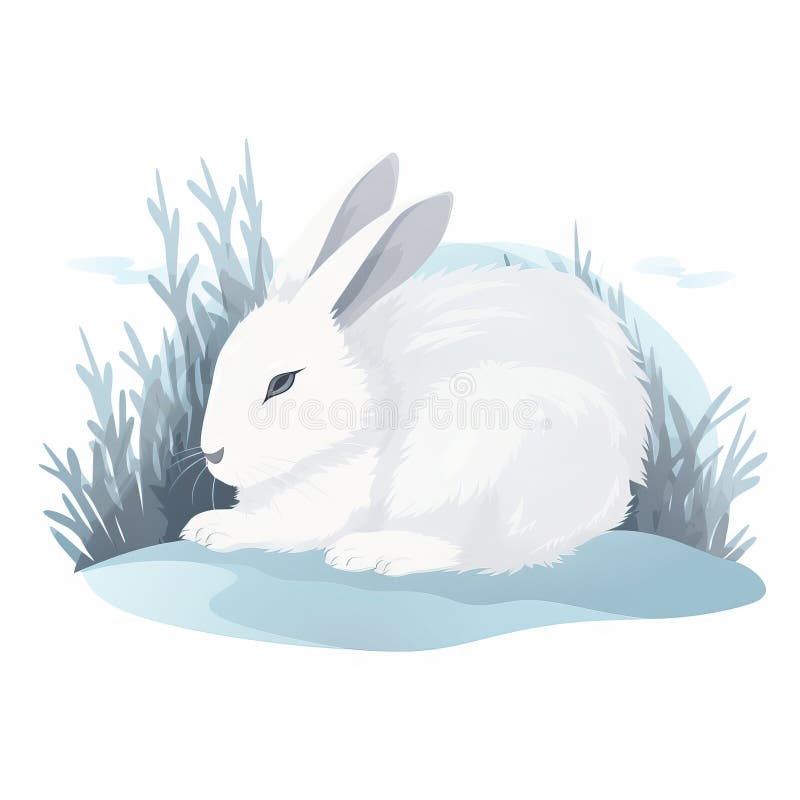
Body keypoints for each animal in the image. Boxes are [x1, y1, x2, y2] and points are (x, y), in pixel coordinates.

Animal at [181, 153, 649, 575]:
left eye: (281, 383)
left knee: (468, 548)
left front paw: (212, 527)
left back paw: (372, 553)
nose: (213, 454)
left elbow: (283, 525)